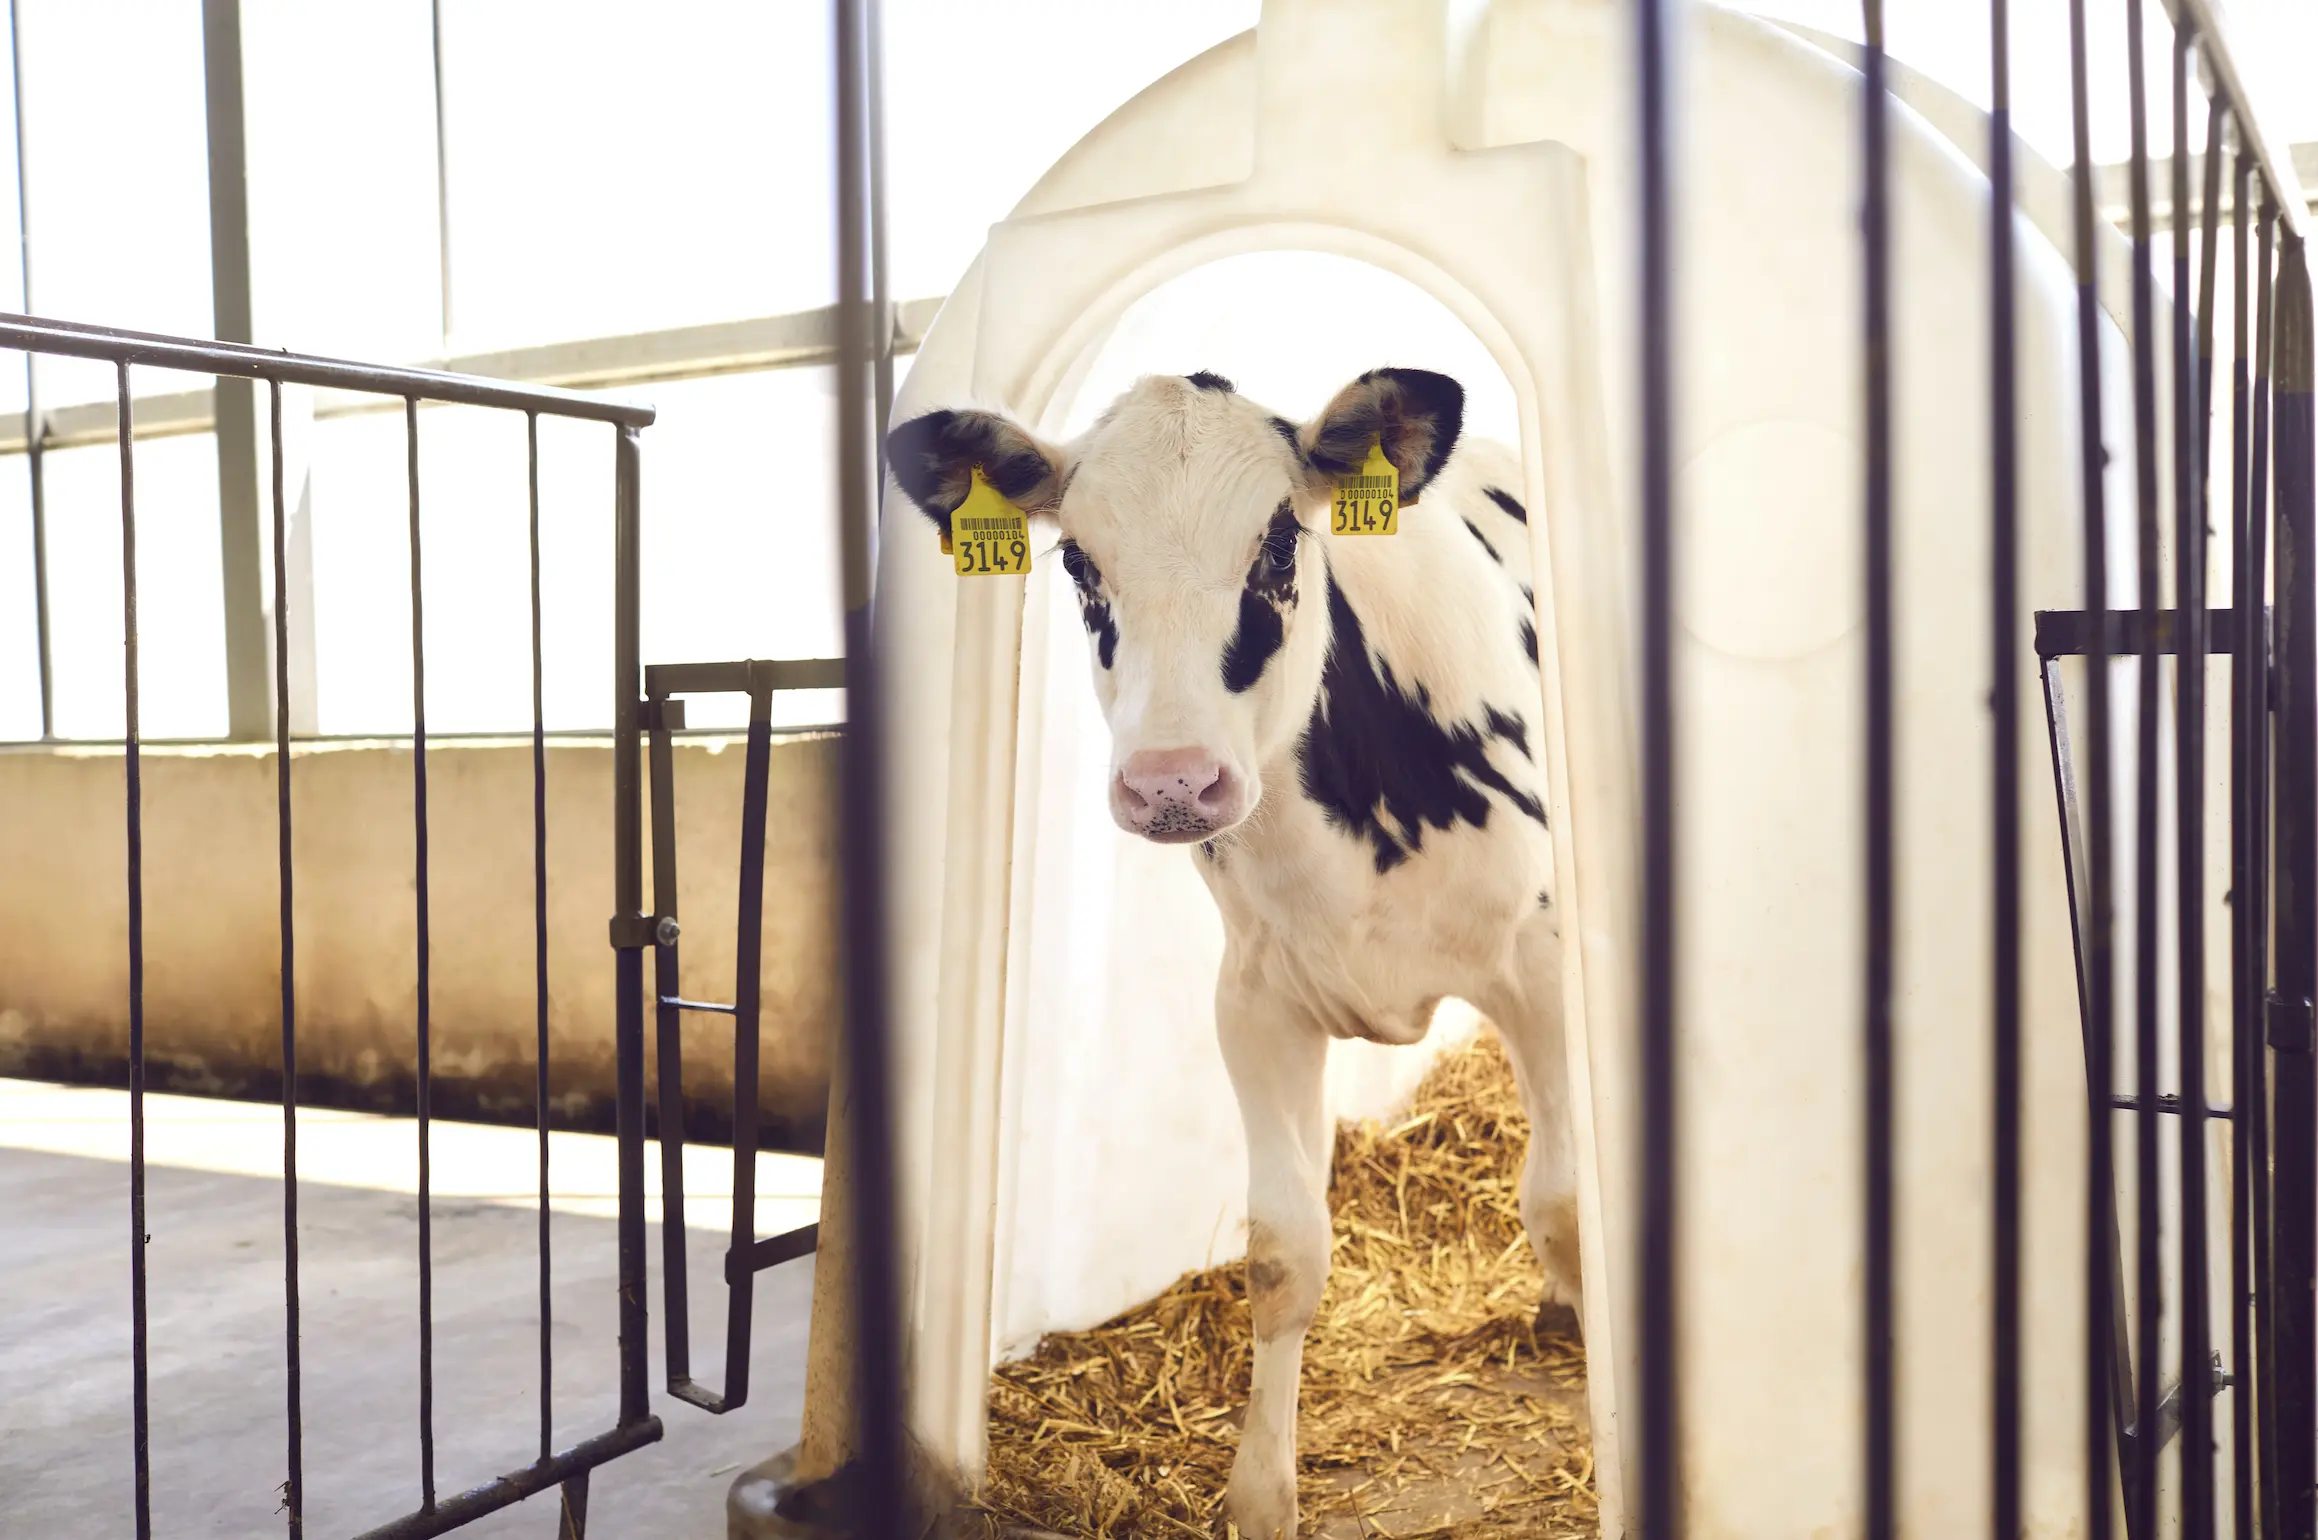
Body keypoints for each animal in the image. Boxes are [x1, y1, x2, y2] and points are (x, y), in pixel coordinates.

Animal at [887, 367, 1572, 1540]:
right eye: (1077, 561)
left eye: (1279, 544)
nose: (1172, 781)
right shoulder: (1255, 1001)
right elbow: (1282, 1254)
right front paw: (1261, 1495)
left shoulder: (1540, 962)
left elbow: (1565, 1206)